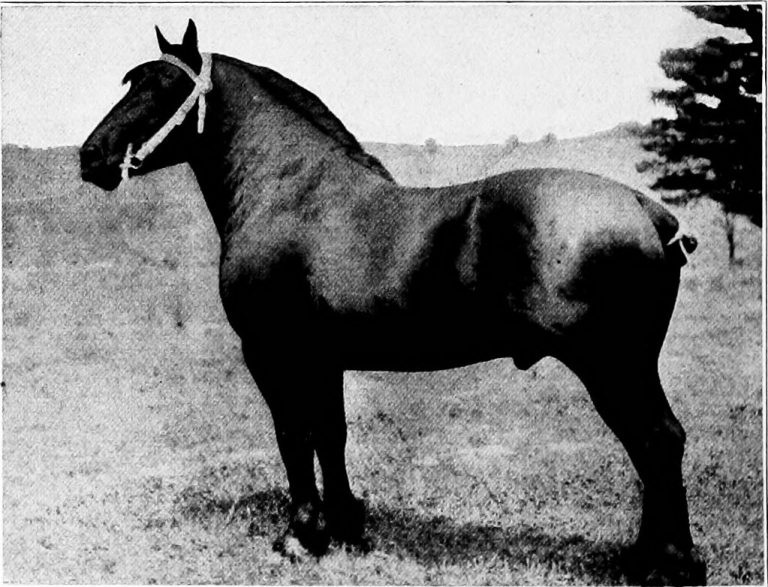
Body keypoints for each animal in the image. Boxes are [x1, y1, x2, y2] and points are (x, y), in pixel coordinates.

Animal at [80, 20, 705, 585]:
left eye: (163, 86)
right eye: (129, 81)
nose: (91, 156)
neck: (289, 192)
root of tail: (649, 212)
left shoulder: (272, 353)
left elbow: (293, 436)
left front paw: (299, 536)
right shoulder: (322, 359)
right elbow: (330, 434)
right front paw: (344, 529)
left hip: (611, 366)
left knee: (656, 442)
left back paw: (667, 566)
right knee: (655, 446)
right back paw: (647, 559)